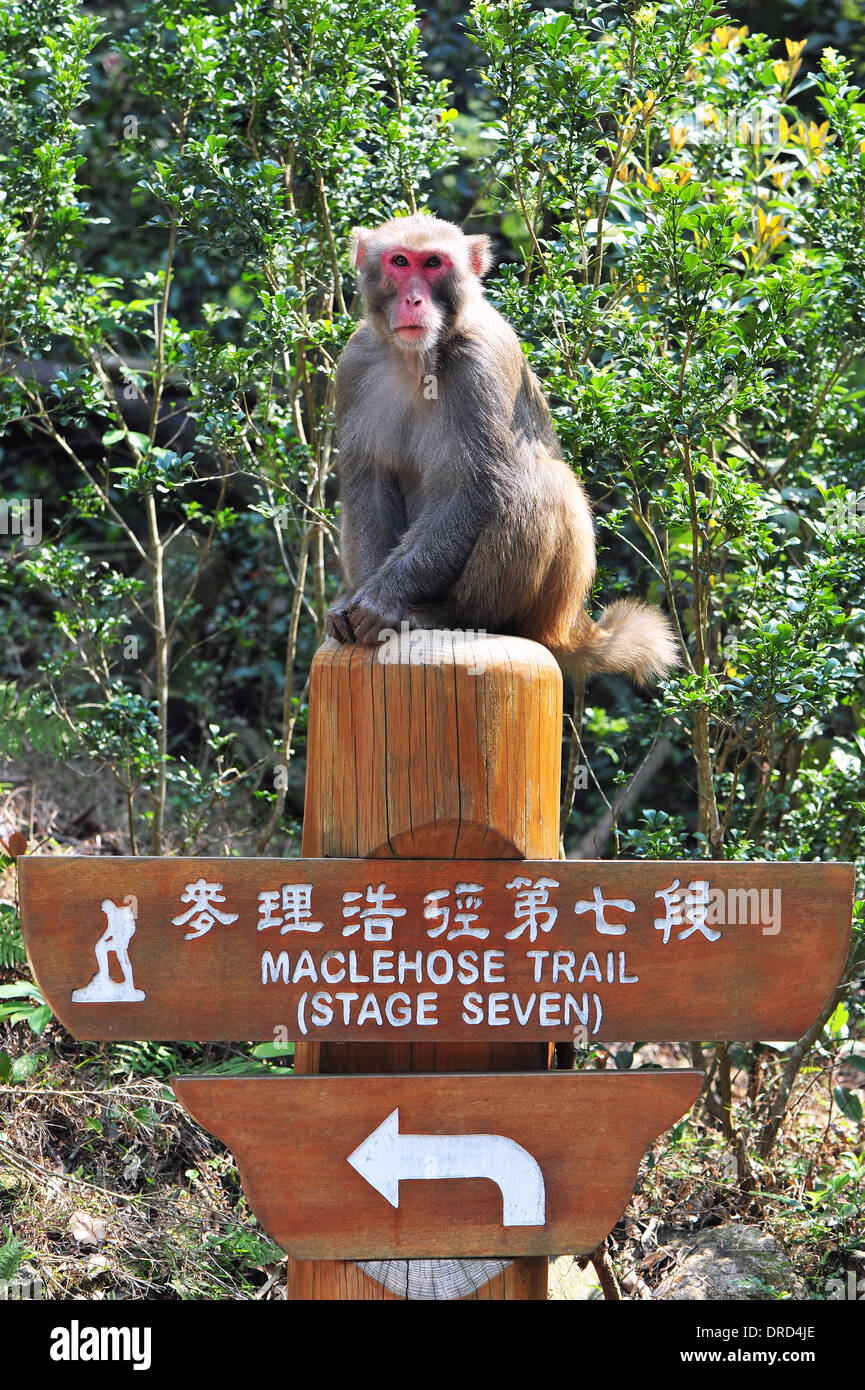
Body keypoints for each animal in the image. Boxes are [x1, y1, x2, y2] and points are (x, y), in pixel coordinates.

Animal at [326, 212, 678, 685]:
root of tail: (575, 624)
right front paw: (356, 599)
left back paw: (447, 615)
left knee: (539, 484)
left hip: (547, 607)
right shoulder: (355, 364)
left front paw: (380, 602)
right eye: (400, 261)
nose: (414, 300)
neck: (417, 358)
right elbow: (368, 483)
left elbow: (478, 487)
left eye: (433, 263)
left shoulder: (483, 362)